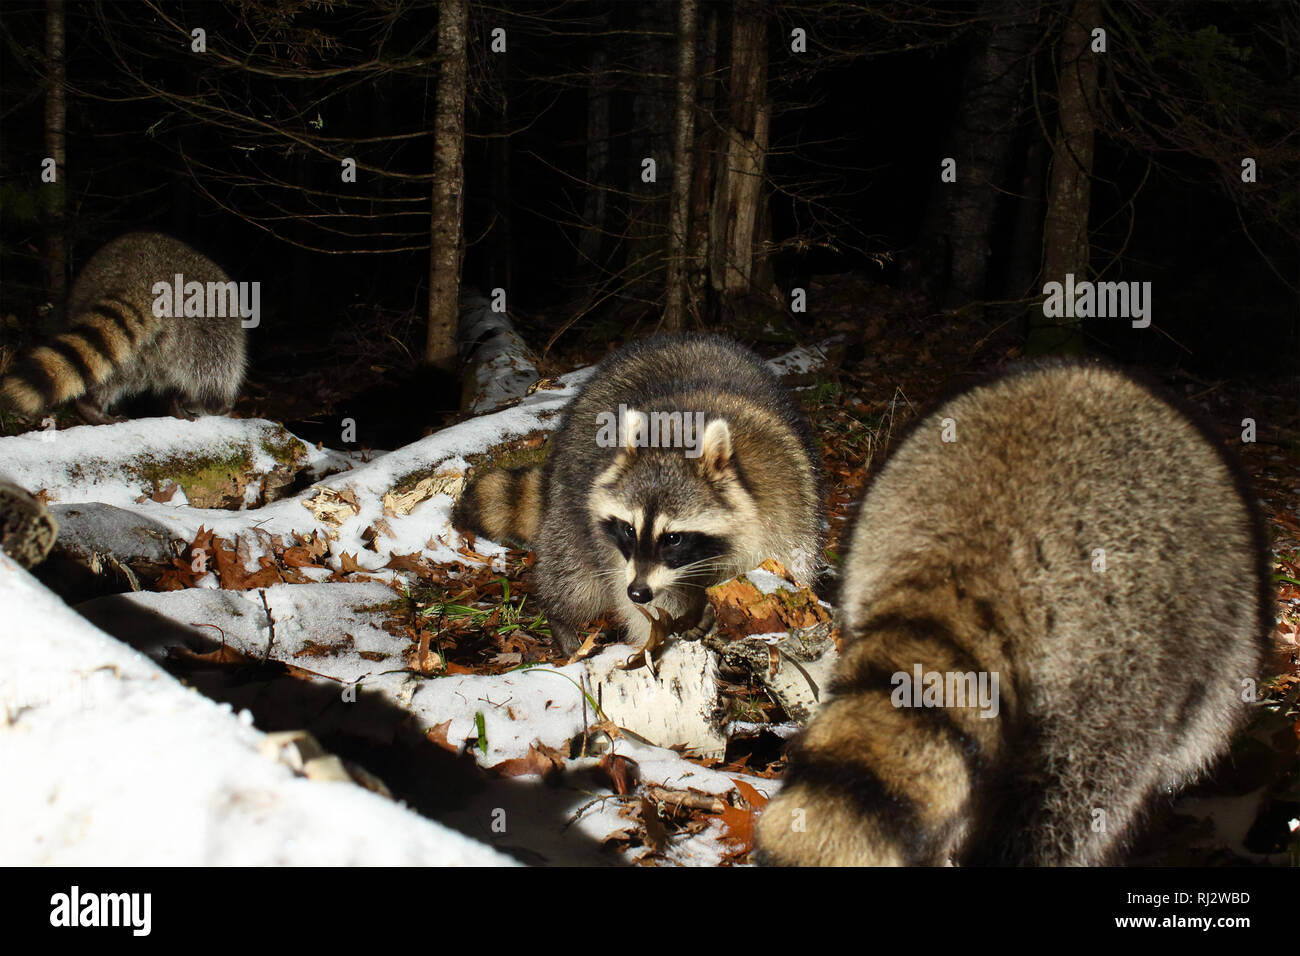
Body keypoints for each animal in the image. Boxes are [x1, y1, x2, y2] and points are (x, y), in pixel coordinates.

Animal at [1, 232, 247, 424]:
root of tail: (142, 280)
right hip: (201, 324)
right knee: (216, 364)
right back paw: (215, 402)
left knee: (115, 372)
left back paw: (91, 406)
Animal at [455, 334, 825, 655]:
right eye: (629, 530)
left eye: (673, 538)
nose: (638, 592)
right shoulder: (615, 549)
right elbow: (637, 597)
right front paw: (668, 624)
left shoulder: (784, 498)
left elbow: (784, 563)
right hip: (570, 492)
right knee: (575, 576)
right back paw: (561, 618)